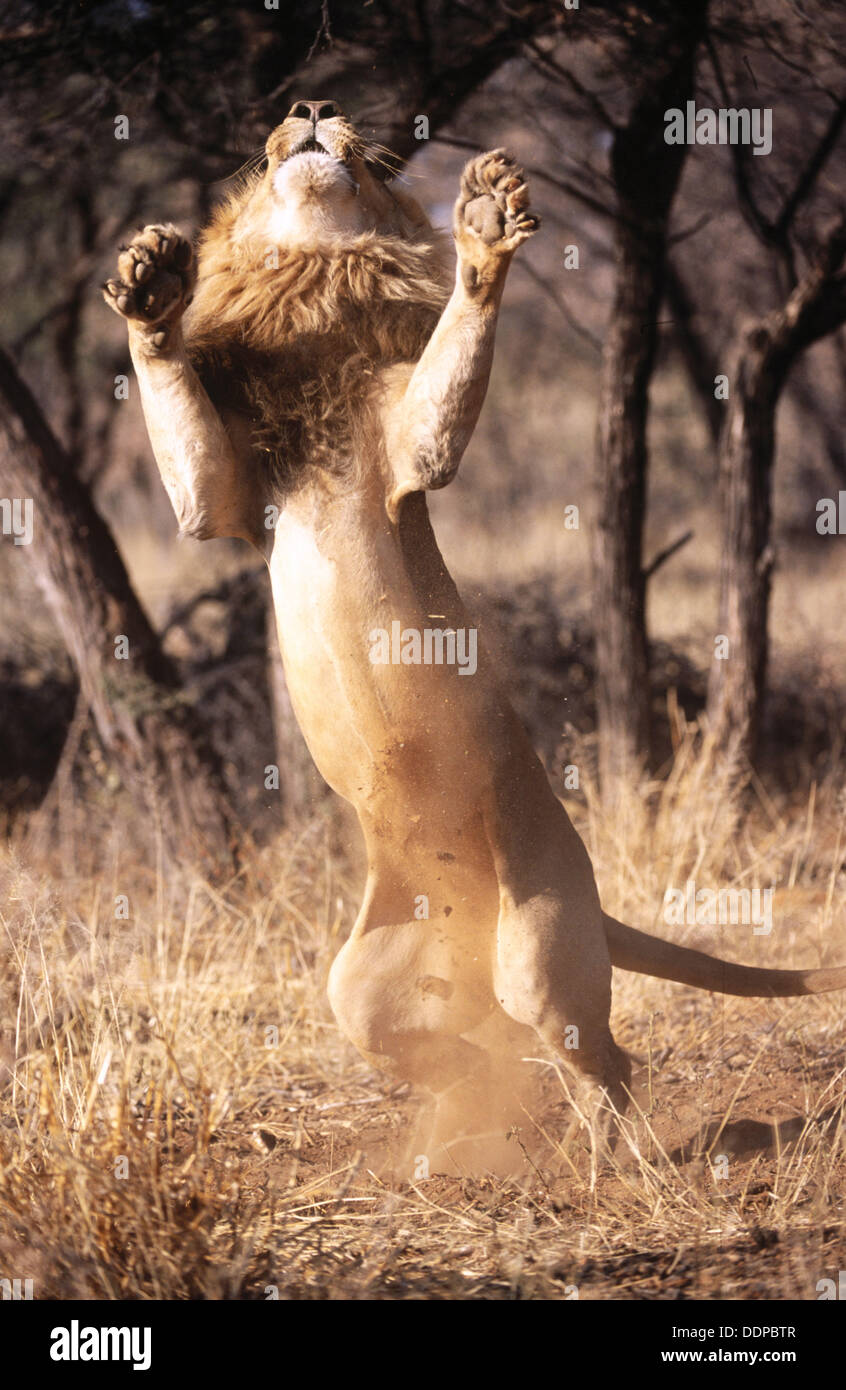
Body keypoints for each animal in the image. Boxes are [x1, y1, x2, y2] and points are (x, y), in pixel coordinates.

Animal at [104, 99, 846, 1173]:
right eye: (285, 122)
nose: (310, 108)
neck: (315, 288)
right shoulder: (227, 503)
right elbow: (175, 413)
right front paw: (151, 287)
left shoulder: (411, 449)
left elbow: (456, 346)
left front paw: (486, 226)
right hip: (360, 986)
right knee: (455, 1047)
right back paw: (460, 1127)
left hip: (542, 938)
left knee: (600, 1054)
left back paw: (608, 1156)